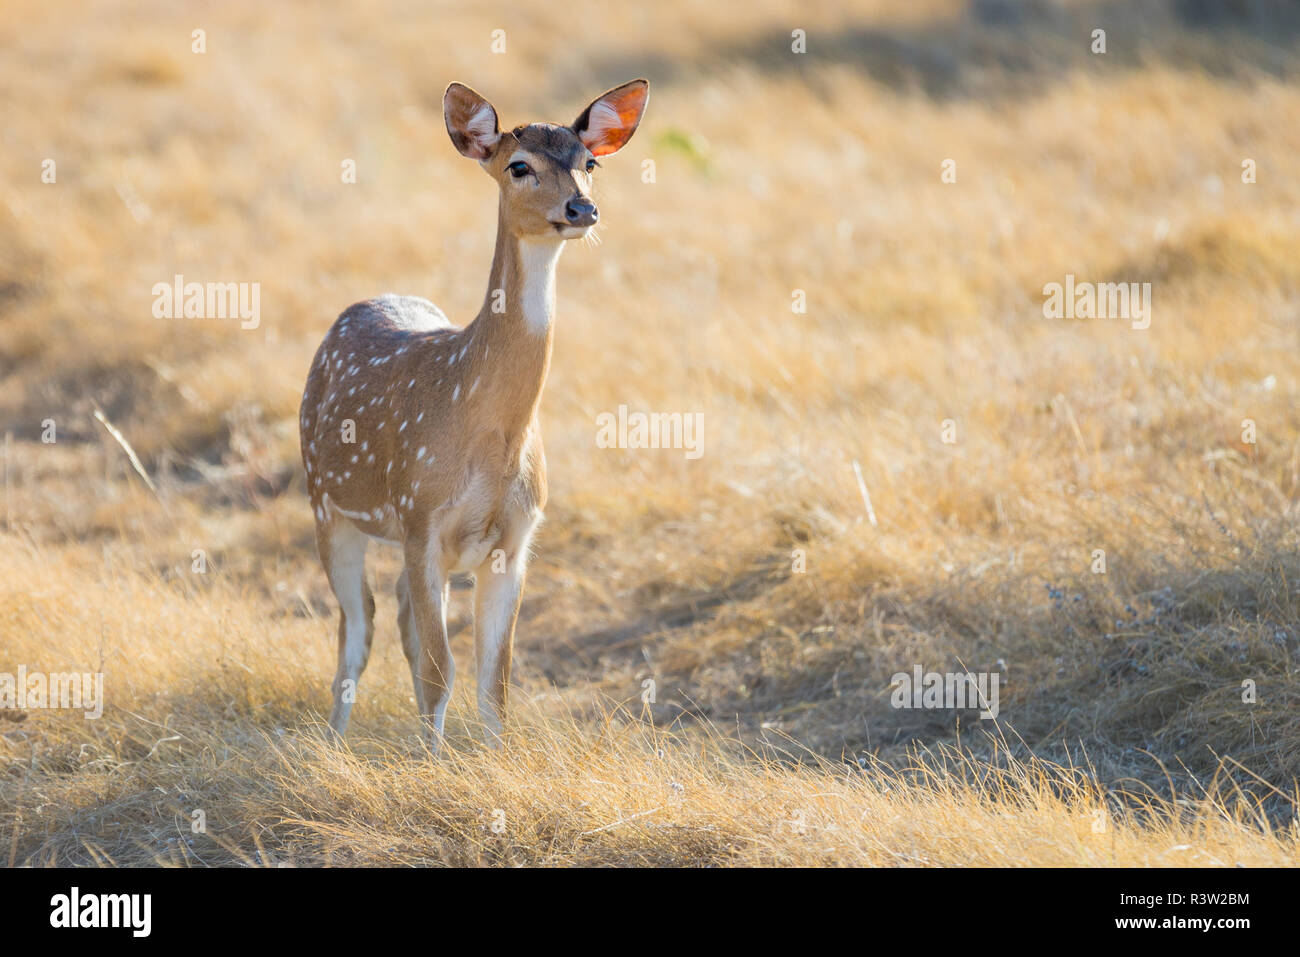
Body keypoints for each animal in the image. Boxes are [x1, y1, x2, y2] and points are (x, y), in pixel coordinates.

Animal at [299, 79, 649, 753]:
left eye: (589, 164)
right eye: (519, 166)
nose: (581, 210)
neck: (488, 439)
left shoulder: (516, 538)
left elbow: (495, 681)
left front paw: (494, 761)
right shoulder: (420, 517)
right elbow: (442, 670)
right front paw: (433, 765)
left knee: (400, 618)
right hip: (327, 503)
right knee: (358, 628)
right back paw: (333, 741)